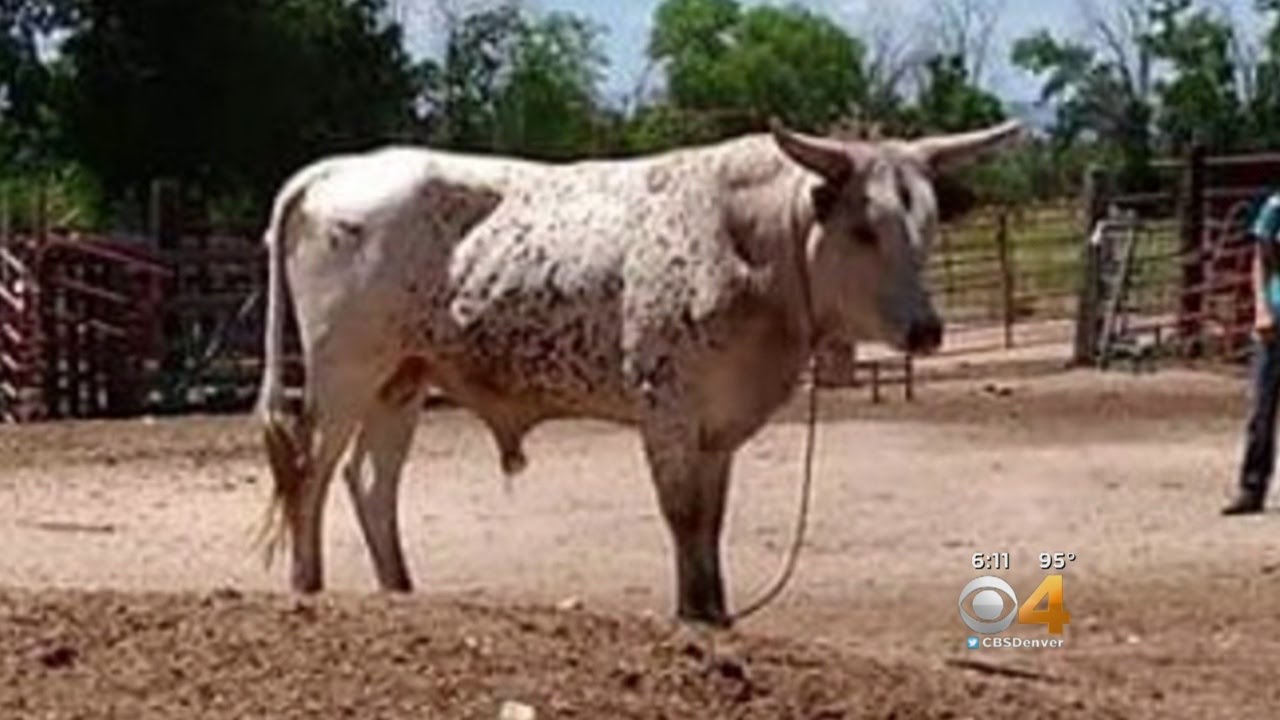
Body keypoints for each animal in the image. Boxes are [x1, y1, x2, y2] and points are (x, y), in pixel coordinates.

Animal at [257, 120, 1024, 626]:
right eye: (864, 229)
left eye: (928, 224)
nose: (927, 330)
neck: (749, 242)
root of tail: (336, 169)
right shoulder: (668, 411)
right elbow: (681, 514)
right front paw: (689, 614)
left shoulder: (717, 427)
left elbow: (710, 520)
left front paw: (716, 612)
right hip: (343, 375)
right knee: (310, 474)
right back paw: (309, 588)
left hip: (401, 380)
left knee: (371, 483)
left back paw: (401, 593)